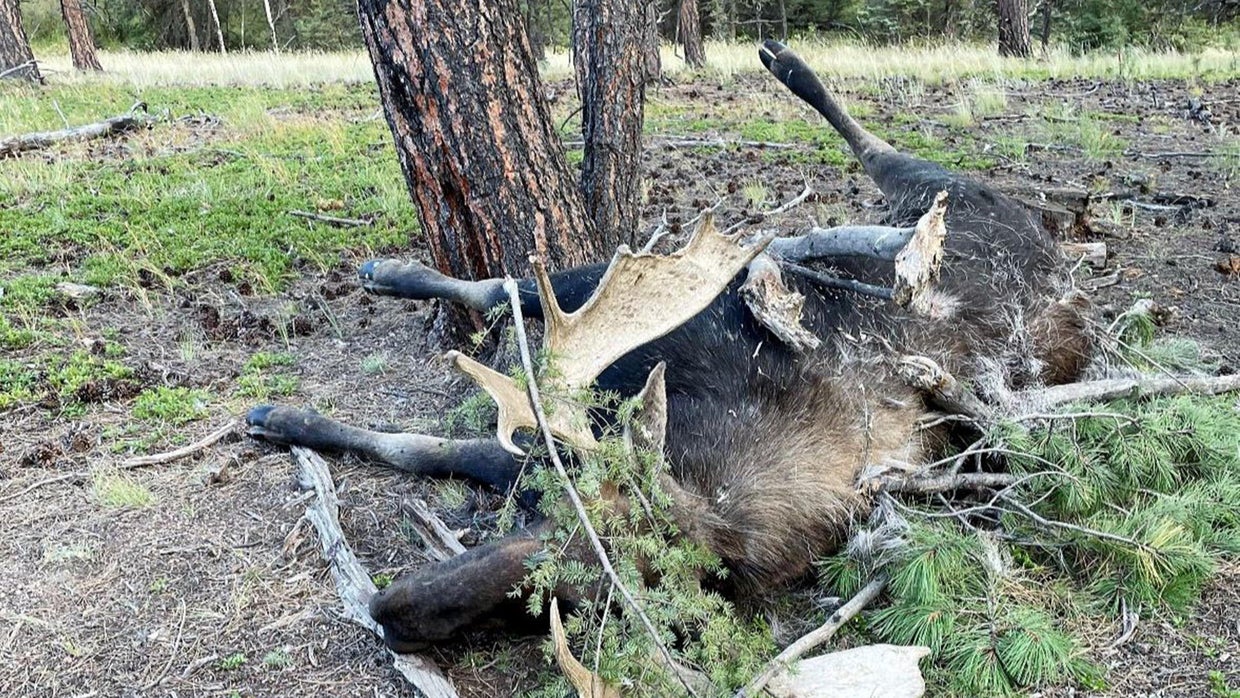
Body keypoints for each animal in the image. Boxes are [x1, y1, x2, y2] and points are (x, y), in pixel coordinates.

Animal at [245, 41, 1092, 653]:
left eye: (566, 600)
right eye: (545, 524)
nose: (389, 614)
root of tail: (1059, 259)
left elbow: (427, 447)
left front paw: (288, 421)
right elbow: (428, 433)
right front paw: (283, 417)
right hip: (918, 206)